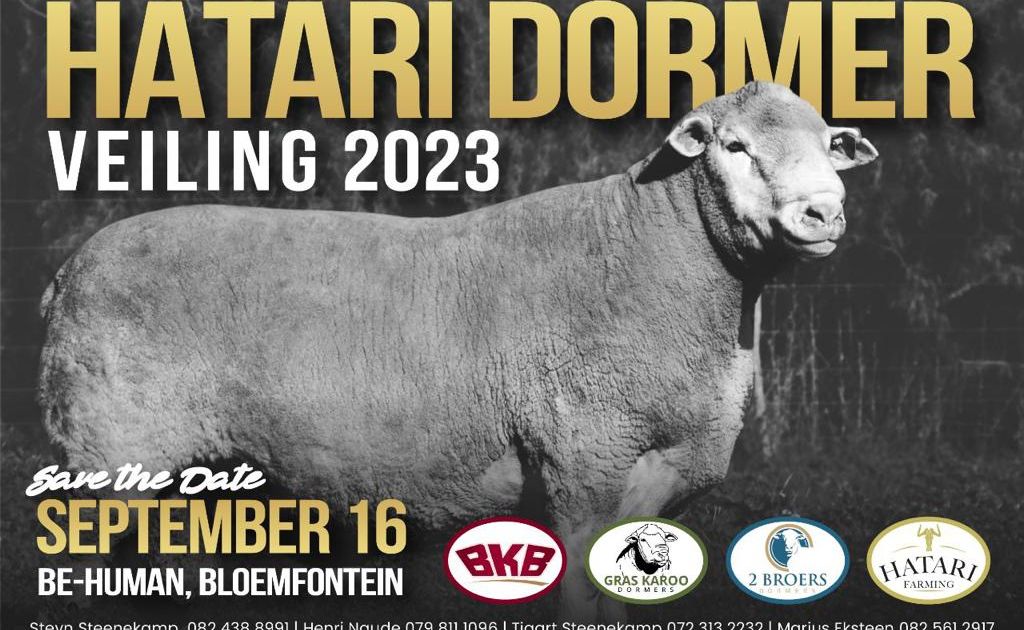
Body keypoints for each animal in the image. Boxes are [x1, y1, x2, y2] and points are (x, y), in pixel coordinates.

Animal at [37, 82, 877, 619]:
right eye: (734, 145)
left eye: (828, 147)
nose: (822, 212)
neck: (656, 251)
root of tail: (66, 273)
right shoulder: (579, 460)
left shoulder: (652, 474)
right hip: (110, 450)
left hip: (196, 476)